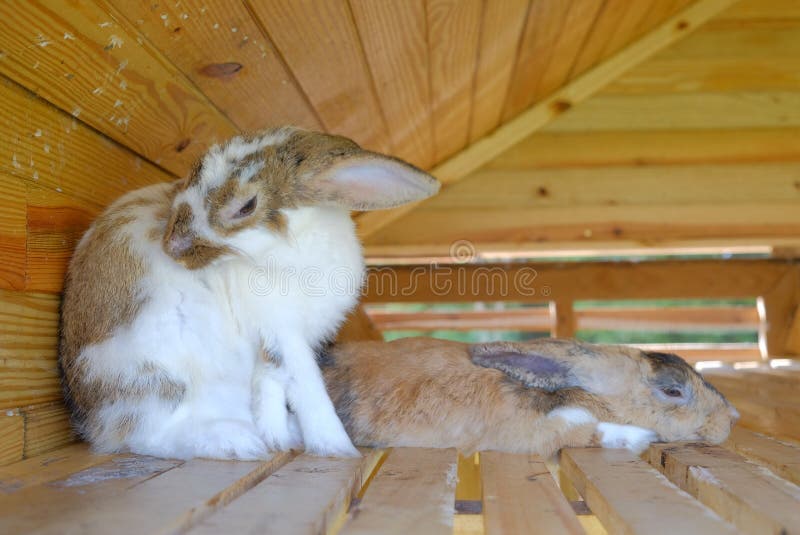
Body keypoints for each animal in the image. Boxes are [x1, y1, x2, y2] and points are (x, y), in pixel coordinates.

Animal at [59, 127, 440, 460]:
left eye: (245, 207)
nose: (171, 246)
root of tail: (94, 422)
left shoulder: (270, 345)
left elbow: (269, 384)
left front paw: (278, 434)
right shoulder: (283, 332)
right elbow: (307, 387)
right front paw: (337, 448)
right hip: (162, 370)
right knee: (147, 434)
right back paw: (236, 441)